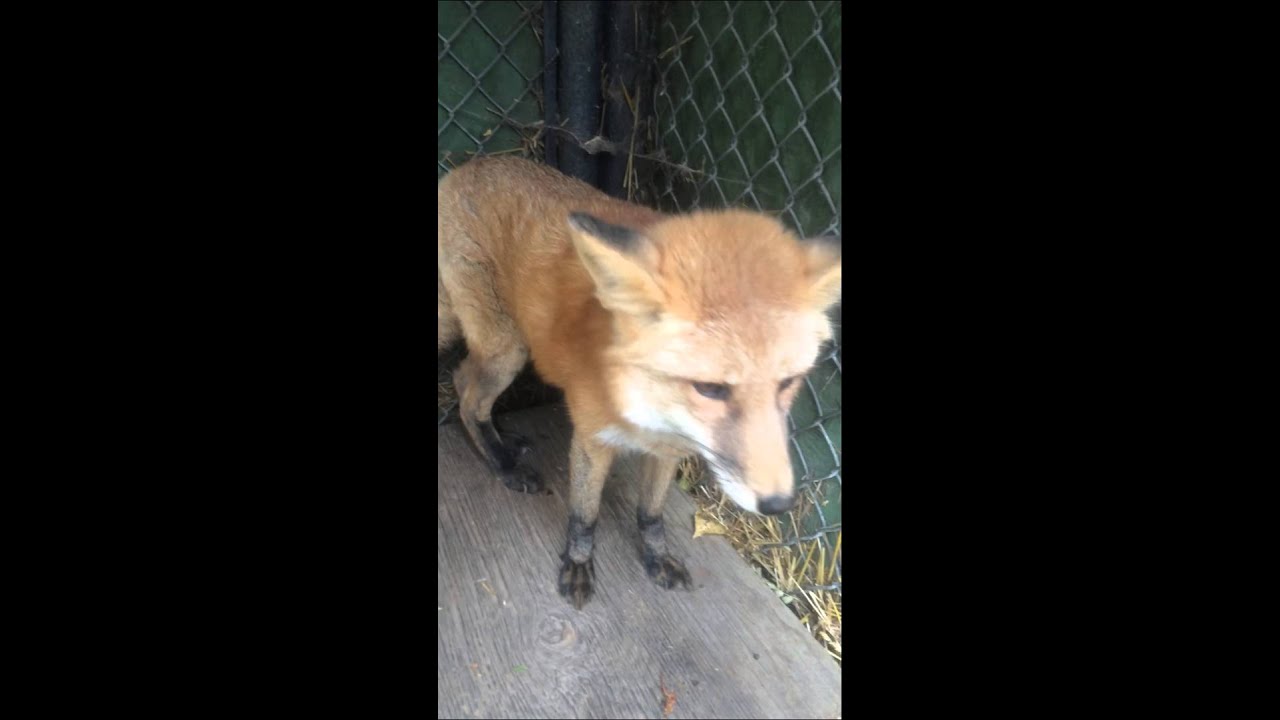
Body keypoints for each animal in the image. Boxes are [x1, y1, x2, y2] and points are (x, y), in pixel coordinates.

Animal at [438, 156, 841, 609]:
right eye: (711, 388)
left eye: (788, 382)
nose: (778, 503)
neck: (648, 408)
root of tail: (469, 166)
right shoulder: (592, 440)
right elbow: (584, 516)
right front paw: (578, 564)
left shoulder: (670, 449)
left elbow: (651, 514)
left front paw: (656, 558)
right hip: (507, 351)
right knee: (468, 396)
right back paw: (503, 466)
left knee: (462, 379)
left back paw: (502, 442)